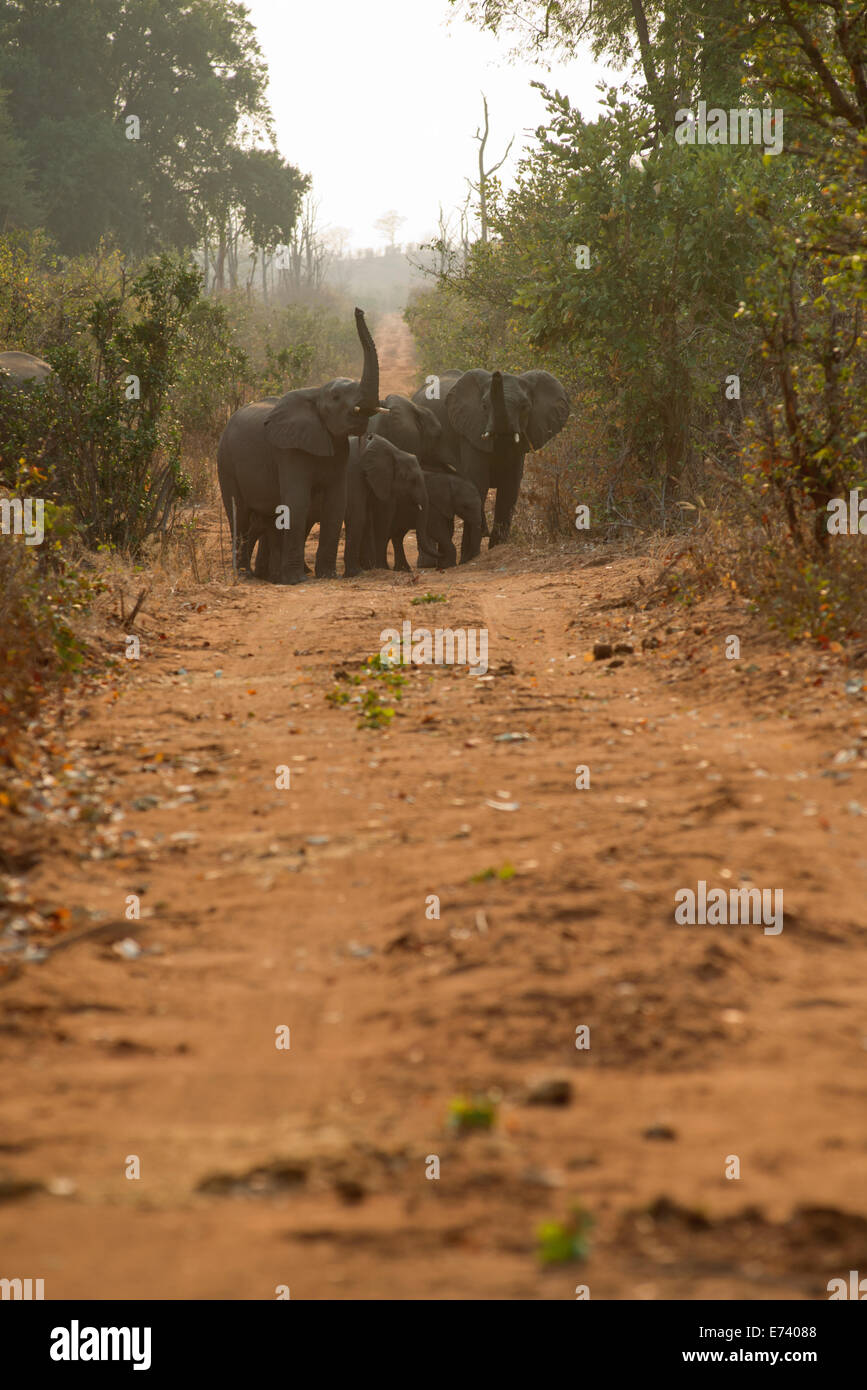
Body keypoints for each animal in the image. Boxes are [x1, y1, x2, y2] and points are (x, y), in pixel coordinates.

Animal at [217, 308, 382, 584]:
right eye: (336, 397)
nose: (359, 310)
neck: (315, 393)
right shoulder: (288, 451)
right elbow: (297, 502)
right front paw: (297, 580)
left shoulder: (339, 449)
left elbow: (335, 503)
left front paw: (327, 576)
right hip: (225, 460)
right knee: (239, 513)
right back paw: (244, 575)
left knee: (269, 516)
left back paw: (268, 575)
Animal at [411, 368, 570, 548]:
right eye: (484, 406)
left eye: (525, 407)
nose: (497, 373)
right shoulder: (470, 432)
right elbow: (479, 481)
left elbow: (510, 487)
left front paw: (497, 546)